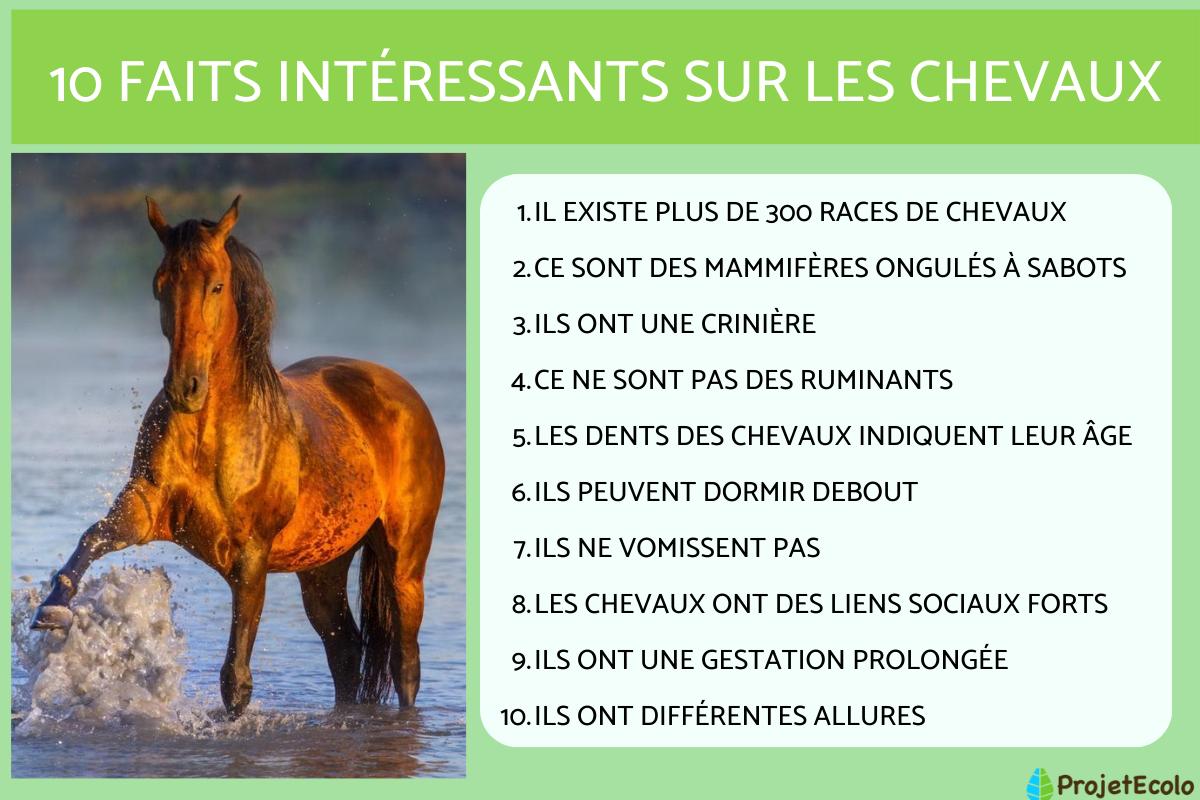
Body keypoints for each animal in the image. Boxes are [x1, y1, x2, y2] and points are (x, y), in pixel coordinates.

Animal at [31, 196, 445, 717]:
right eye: (160, 285)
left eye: (217, 285)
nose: (185, 387)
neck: (211, 437)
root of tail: (400, 391)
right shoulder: (145, 508)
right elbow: (94, 536)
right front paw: (53, 608)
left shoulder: (250, 557)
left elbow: (236, 680)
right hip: (323, 565)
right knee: (346, 650)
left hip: (403, 556)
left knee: (404, 661)